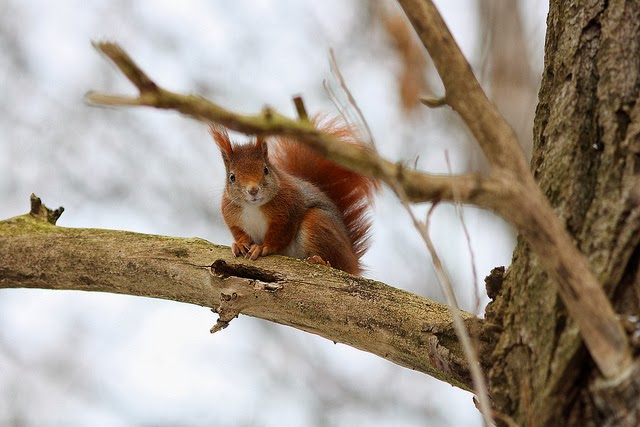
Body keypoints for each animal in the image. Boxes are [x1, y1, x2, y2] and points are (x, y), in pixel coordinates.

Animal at [210, 116, 378, 275]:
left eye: (265, 169)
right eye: (232, 177)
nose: (253, 190)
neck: (253, 206)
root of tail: (352, 261)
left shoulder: (287, 212)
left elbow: (279, 236)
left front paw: (263, 247)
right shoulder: (232, 217)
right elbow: (239, 233)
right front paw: (240, 244)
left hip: (317, 222)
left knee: (335, 264)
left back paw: (321, 261)